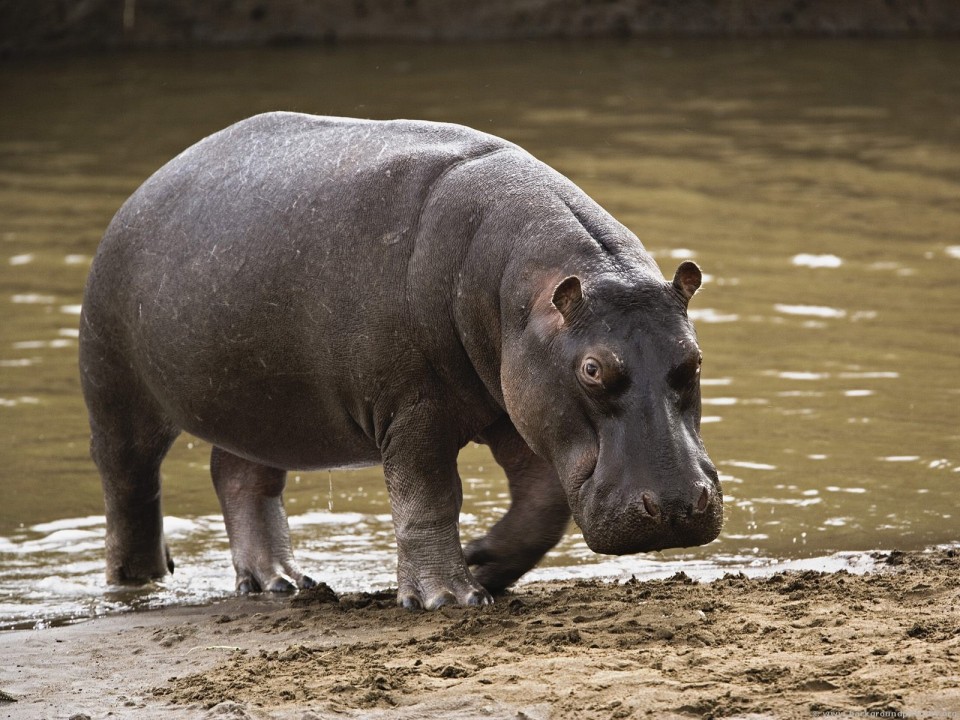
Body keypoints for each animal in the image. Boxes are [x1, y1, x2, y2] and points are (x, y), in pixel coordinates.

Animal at [79, 112, 722, 610]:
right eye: (592, 369)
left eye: (693, 358)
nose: (674, 506)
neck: (520, 290)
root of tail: (143, 189)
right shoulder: (413, 411)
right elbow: (429, 498)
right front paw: (448, 598)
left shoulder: (517, 408)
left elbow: (542, 505)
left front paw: (481, 562)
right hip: (116, 390)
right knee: (129, 490)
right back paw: (138, 584)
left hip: (258, 406)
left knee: (240, 477)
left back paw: (280, 583)